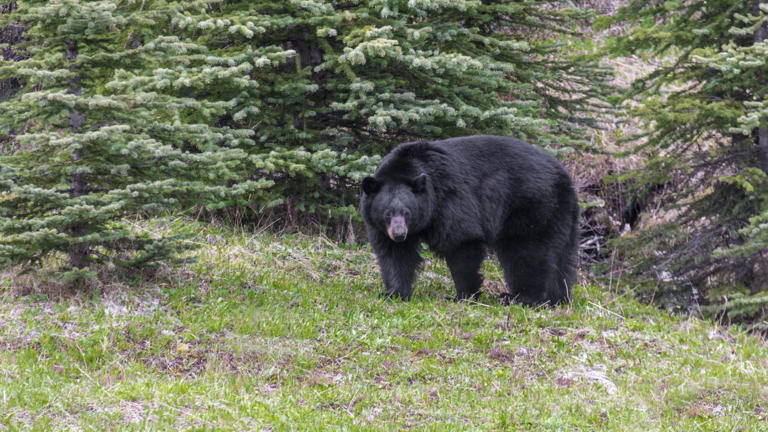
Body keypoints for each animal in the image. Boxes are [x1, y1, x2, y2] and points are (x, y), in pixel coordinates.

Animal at [360, 135, 579, 305]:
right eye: (387, 213)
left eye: (407, 212)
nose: (399, 234)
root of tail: (564, 175)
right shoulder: (382, 228)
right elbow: (395, 256)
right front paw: (393, 294)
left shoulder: (450, 201)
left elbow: (462, 243)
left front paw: (462, 296)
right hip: (561, 214)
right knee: (562, 256)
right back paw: (556, 298)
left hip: (532, 206)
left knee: (526, 252)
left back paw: (520, 298)